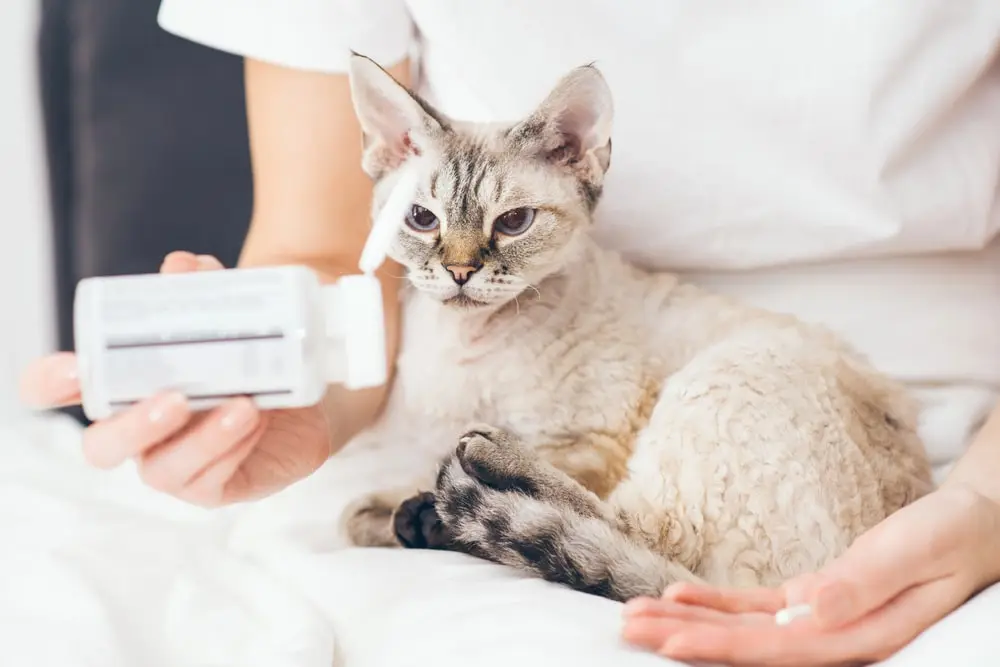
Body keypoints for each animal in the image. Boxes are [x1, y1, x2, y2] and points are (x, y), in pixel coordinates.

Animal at [340, 53, 932, 604]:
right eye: (422, 220)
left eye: (513, 223)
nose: (460, 272)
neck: (469, 344)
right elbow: (386, 494)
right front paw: (400, 513)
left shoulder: (592, 442)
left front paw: (418, 501)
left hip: (719, 381)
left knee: (636, 537)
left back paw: (475, 472)